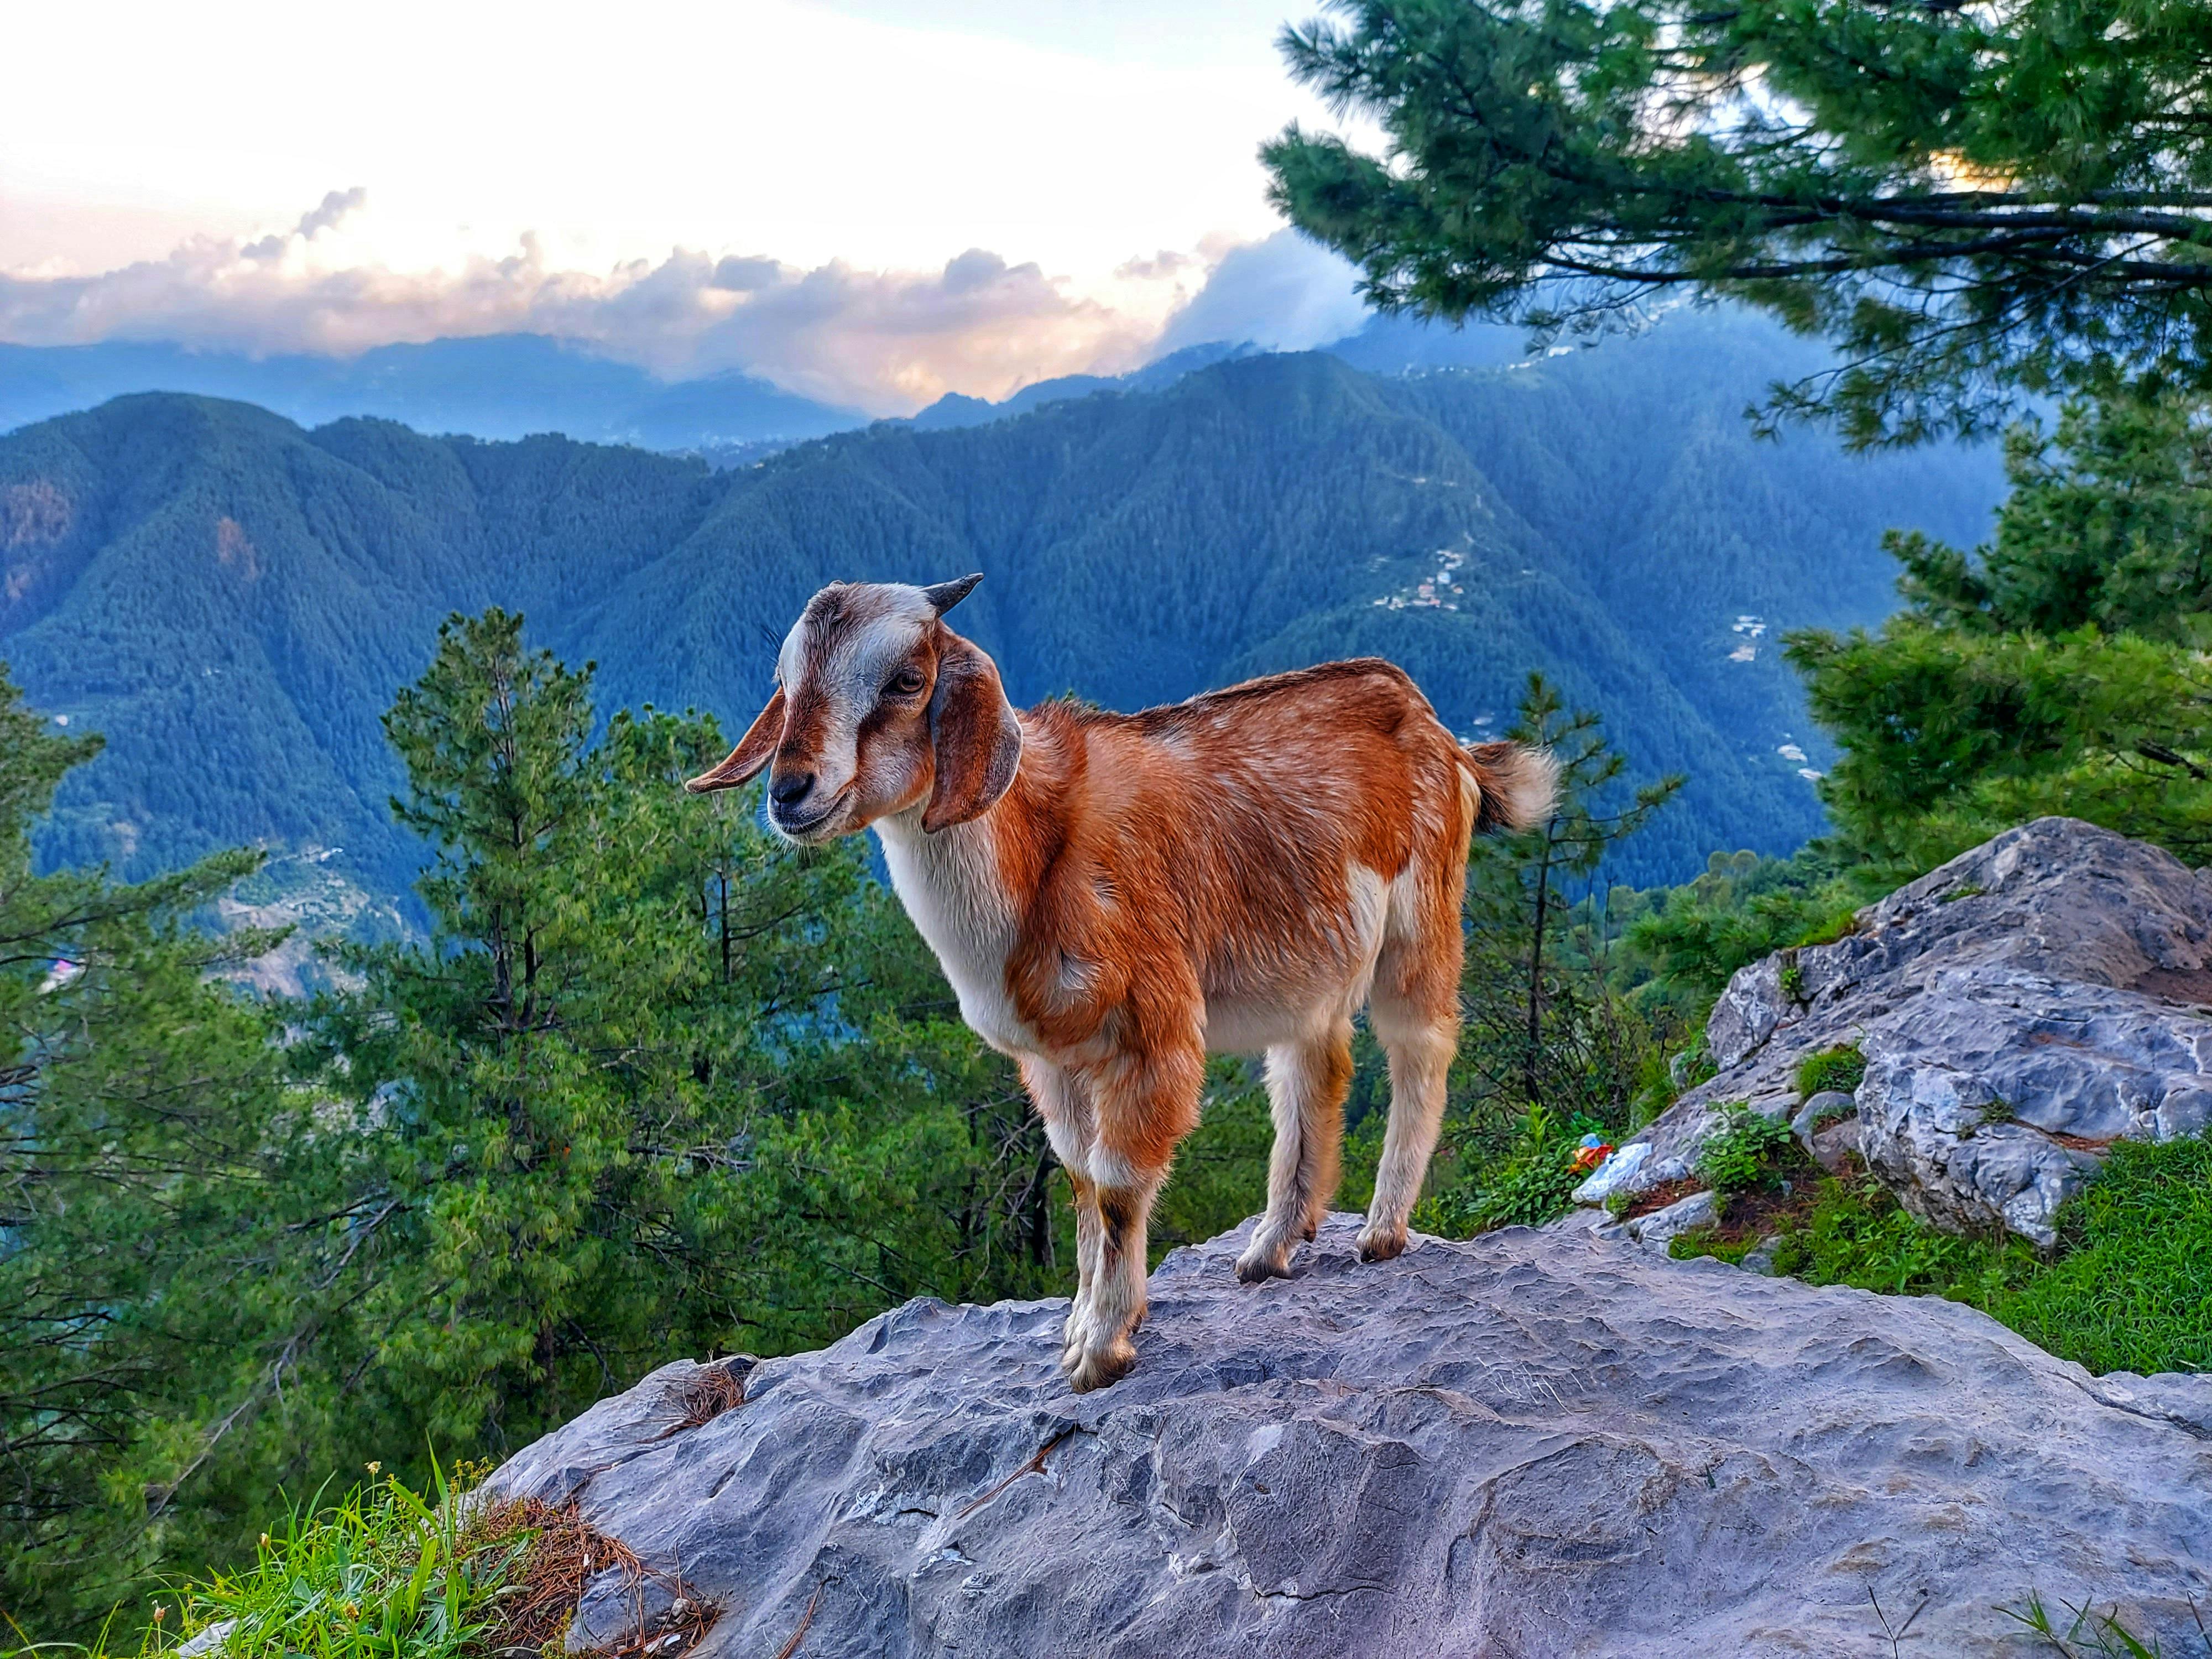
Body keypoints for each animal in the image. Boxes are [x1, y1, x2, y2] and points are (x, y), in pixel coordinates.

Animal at [686, 575, 1557, 1391]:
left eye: (906, 679)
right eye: (786, 678)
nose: (788, 791)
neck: (1038, 855)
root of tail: (1444, 736)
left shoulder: (1151, 1036)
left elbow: (1116, 1187)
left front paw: (1101, 1349)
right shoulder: (1052, 1060)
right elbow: (1077, 1177)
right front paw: (1083, 1321)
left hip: (1421, 921)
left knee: (1422, 1050)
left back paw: (1381, 1230)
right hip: (1307, 962)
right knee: (1314, 1070)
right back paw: (1271, 1246)